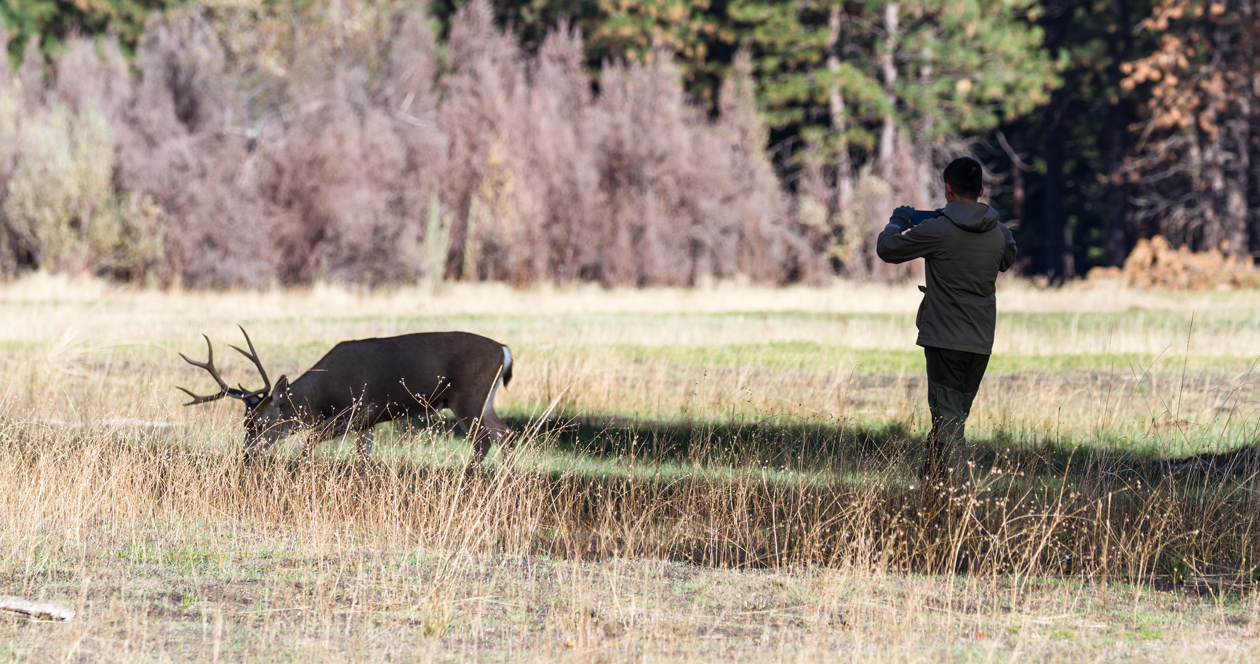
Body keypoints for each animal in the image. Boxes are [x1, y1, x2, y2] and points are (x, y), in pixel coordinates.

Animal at [179, 326, 514, 470]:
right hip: (484, 400)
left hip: (468, 396)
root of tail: (504, 349)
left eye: (260, 424)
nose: (246, 456)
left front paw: (302, 473)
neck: (320, 395)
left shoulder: (356, 410)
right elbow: (363, 457)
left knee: (486, 439)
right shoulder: (369, 421)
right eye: (244, 424)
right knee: (504, 434)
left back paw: (470, 480)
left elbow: (309, 442)